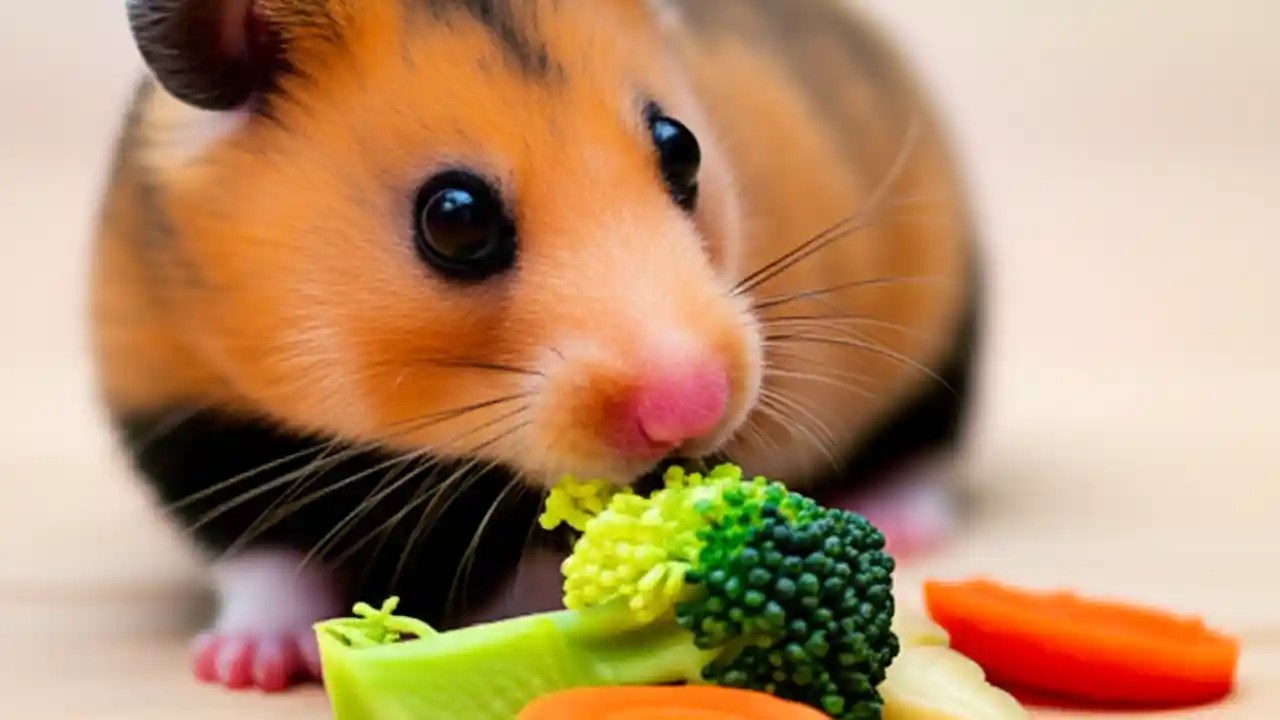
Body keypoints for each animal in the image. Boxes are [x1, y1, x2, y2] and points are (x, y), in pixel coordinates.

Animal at [92, 0, 979, 692]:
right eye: (454, 219)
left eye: (681, 145)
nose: (692, 405)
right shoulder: (193, 422)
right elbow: (266, 558)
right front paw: (242, 667)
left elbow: (543, 561)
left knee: (928, 436)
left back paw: (901, 520)